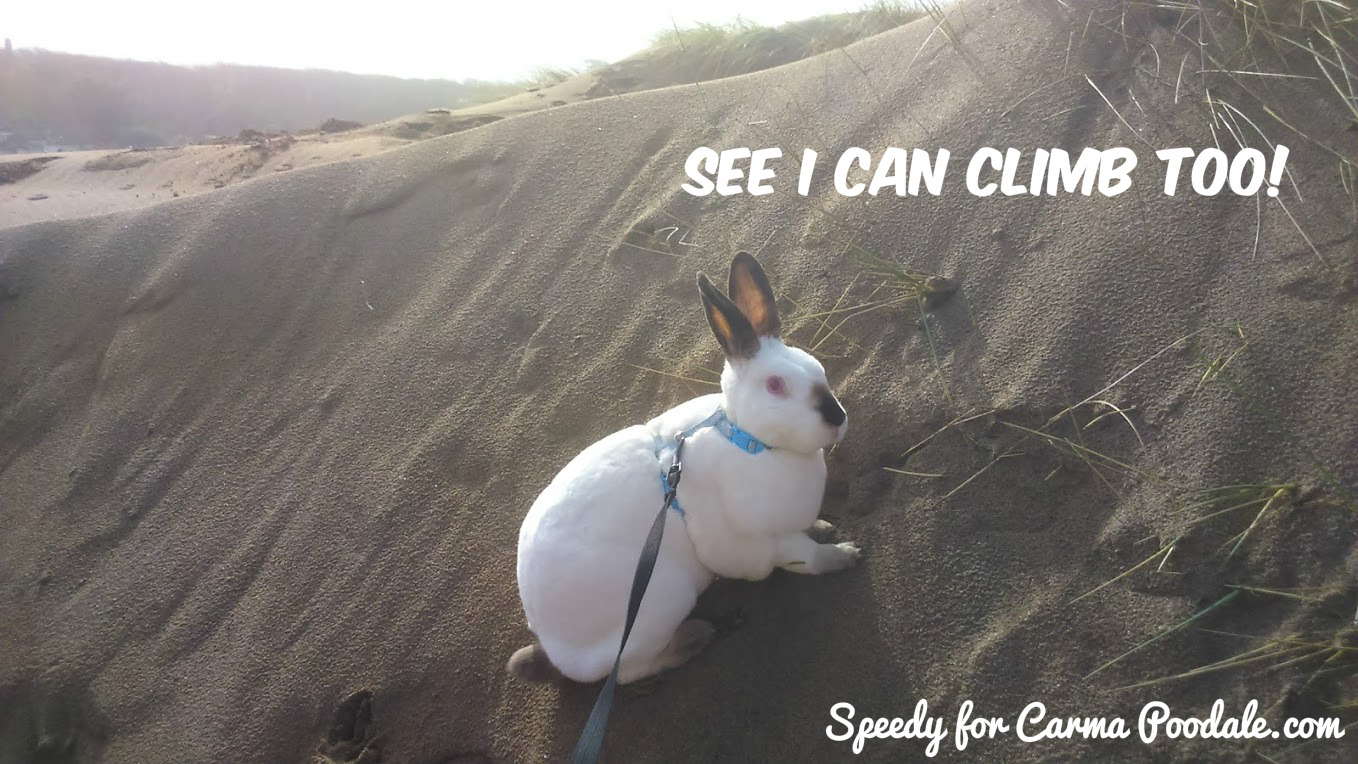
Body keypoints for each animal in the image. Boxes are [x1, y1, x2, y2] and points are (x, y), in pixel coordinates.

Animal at [510, 251, 858, 685]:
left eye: (816, 367)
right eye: (776, 386)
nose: (837, 418)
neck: (747, 439)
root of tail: (556, 651)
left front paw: (825, 527)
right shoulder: (764, 542)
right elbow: (808, 558)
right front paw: (845, 555)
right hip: (660, 599)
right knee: (630, 669)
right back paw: (696, 636)